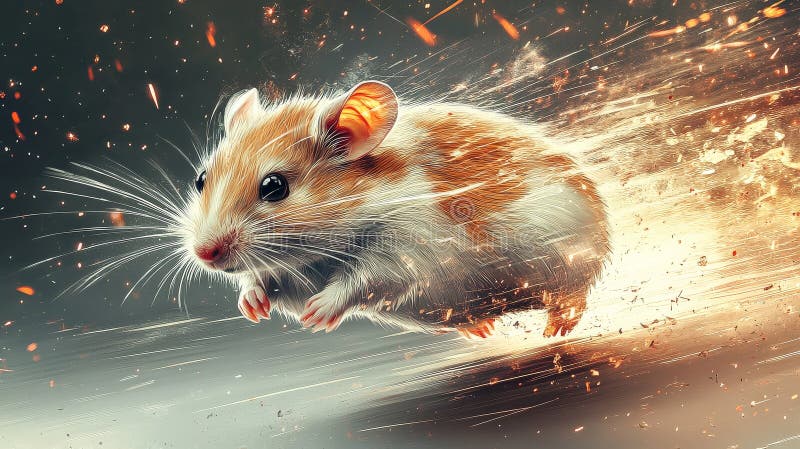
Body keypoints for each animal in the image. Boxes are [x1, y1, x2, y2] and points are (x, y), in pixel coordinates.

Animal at [183, 81, 609, 338]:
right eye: (201, 179)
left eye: (274, 187)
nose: (205, 254)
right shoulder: (293, 274)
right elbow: (267, 283)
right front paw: (252, 306)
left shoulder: (408, 248)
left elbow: (362, 280)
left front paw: (316, 315)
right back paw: (481, 329)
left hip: (572, 255)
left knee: (574, 296)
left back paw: (555, 331)